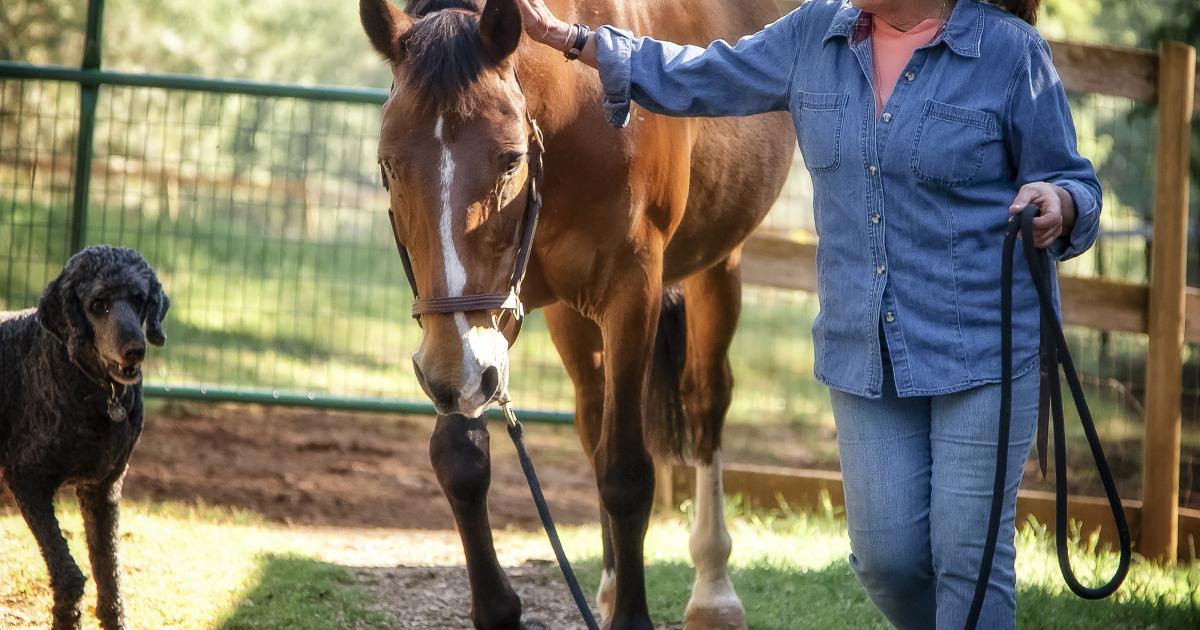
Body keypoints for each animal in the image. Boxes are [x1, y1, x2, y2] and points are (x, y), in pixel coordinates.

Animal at [359, 0, 794, 627]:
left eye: (510, 159)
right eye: (388, 165)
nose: (450, 373)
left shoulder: (632, 291)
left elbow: (627, 473)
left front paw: (635, 616)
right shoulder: (484, 322)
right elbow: (461, 458)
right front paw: (498, 609)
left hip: (718, 265)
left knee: (705, 400)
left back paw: (713, 592)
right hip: (567, 317)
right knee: (592, 416)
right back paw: (610, 588)